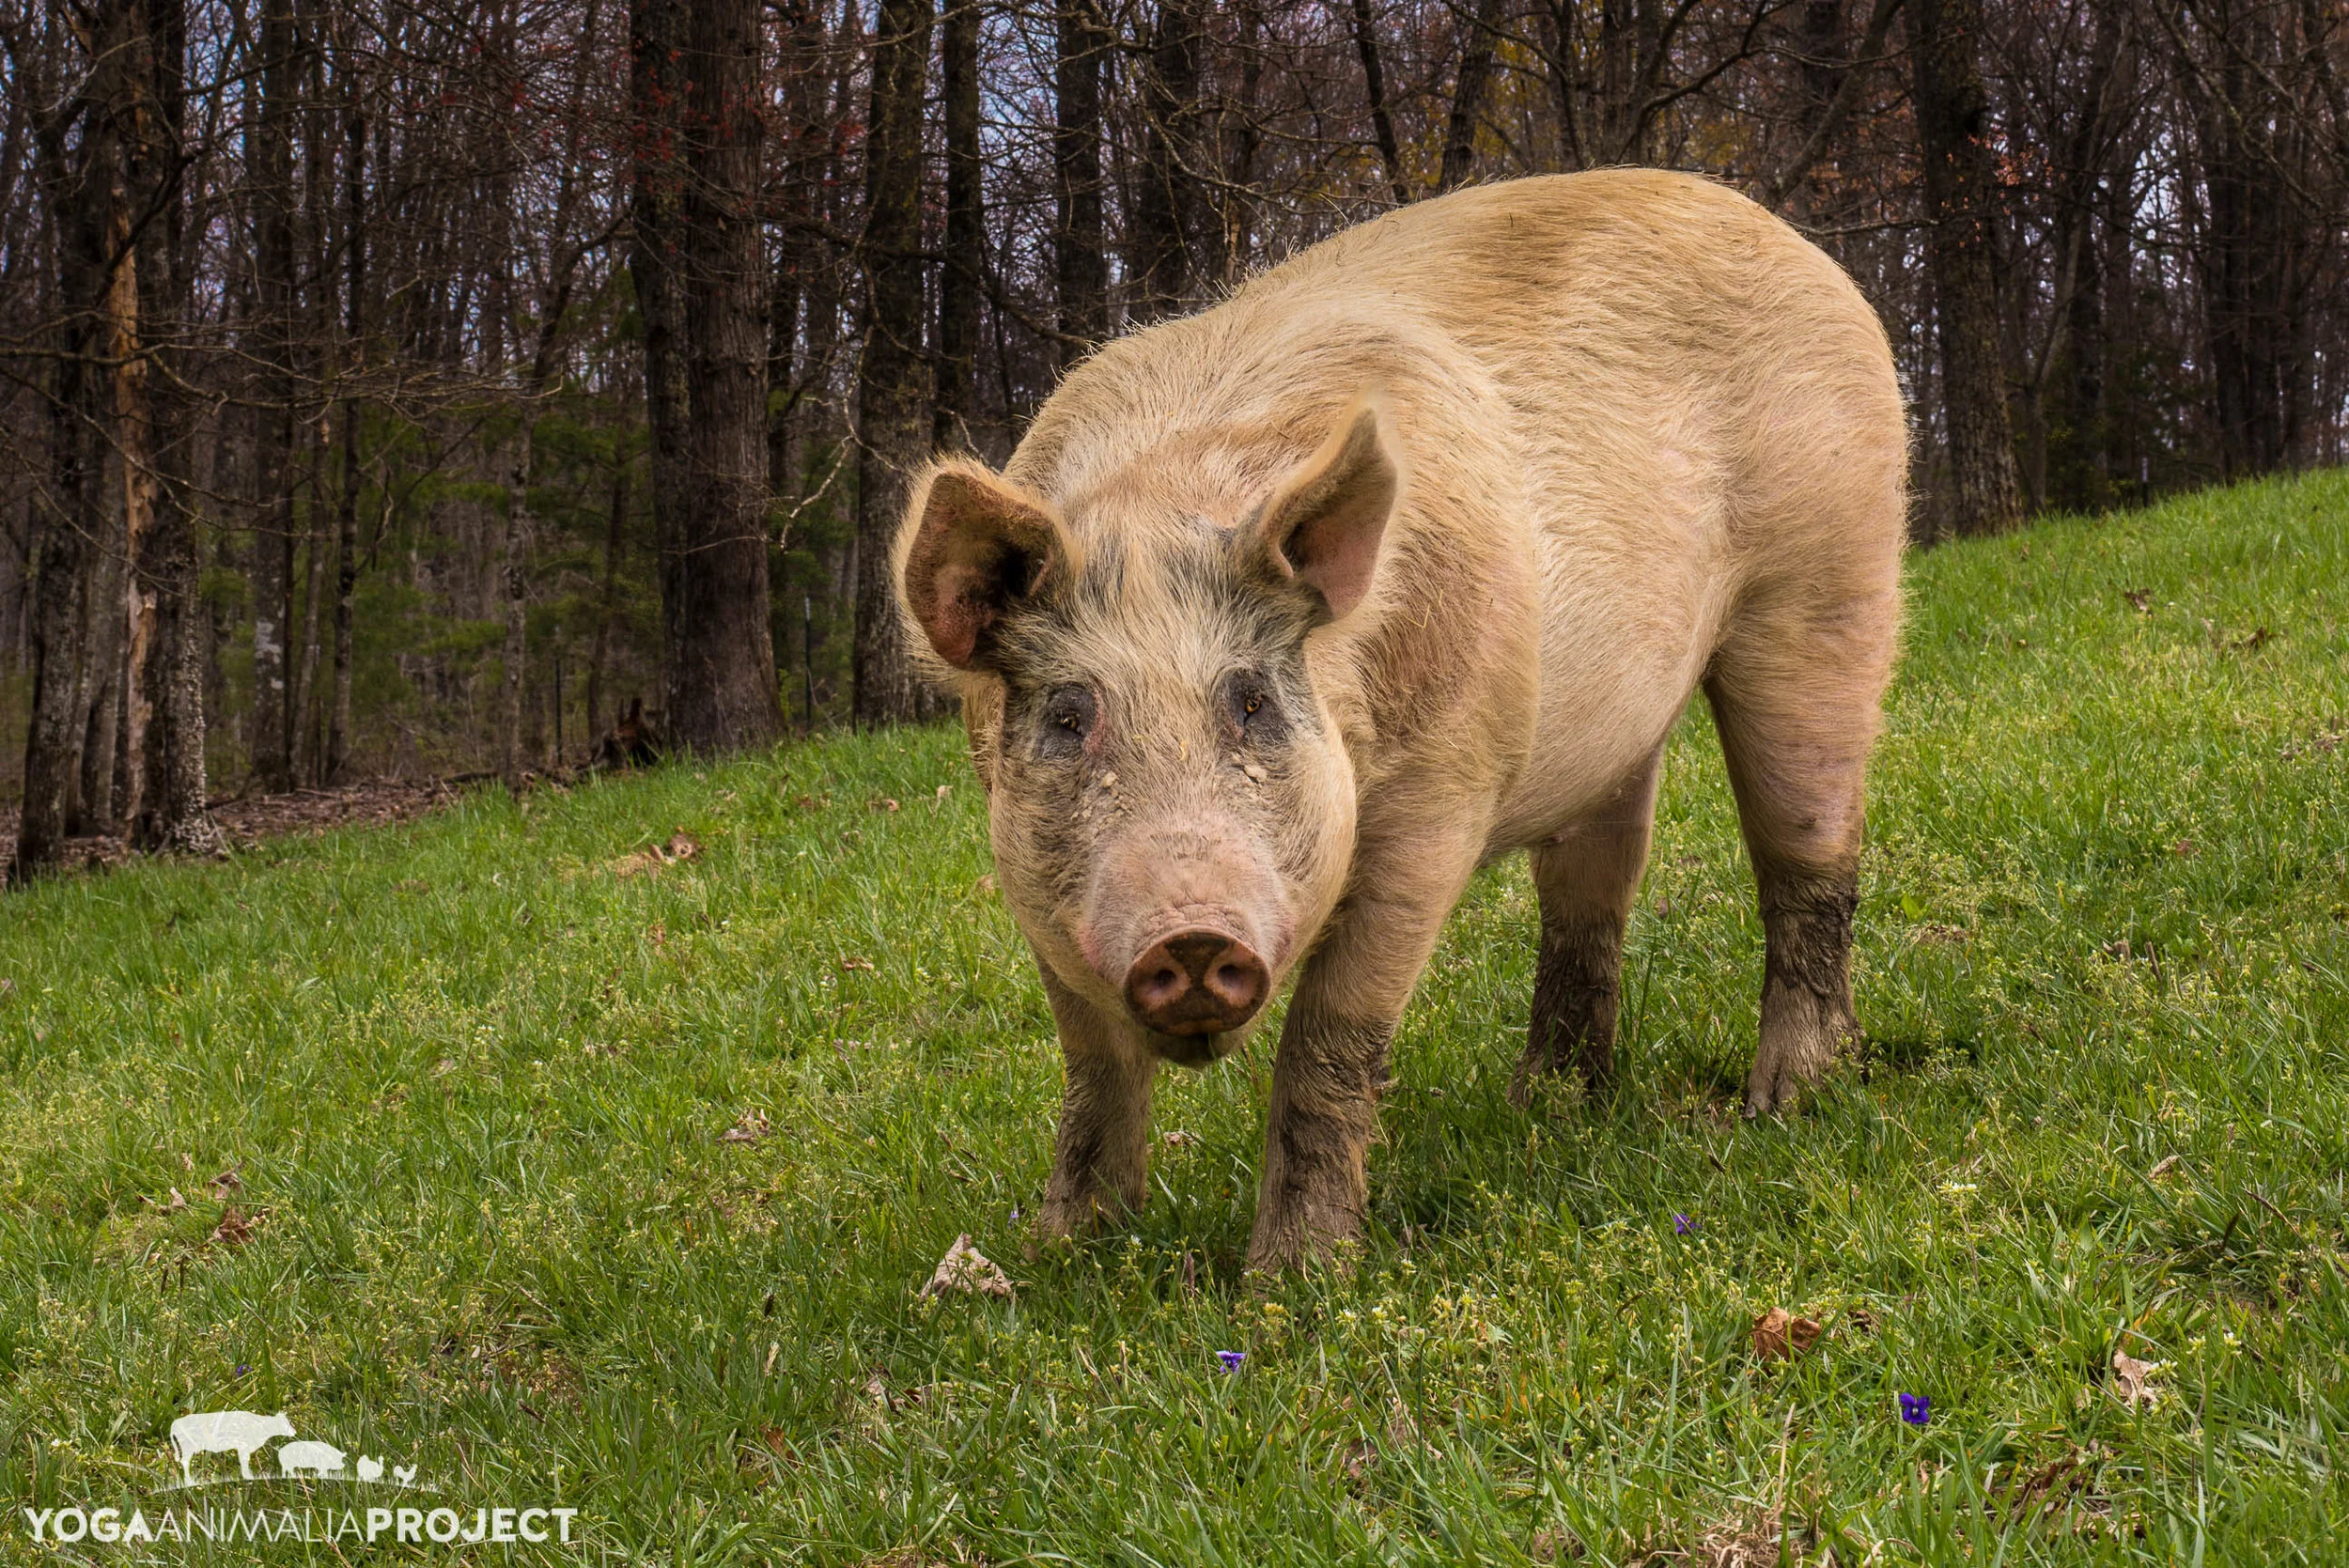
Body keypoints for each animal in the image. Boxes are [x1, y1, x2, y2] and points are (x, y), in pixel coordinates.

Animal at [894, 170, 1906, 1271]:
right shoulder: (1033, 876)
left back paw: (1789, 1098)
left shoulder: (1441, 793)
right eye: (1072, 716)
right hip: (1617, 725)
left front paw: (1292, 1278)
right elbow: (1092, 1063)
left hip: (1831, 571)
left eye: (1251, 701)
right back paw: (1549, 1107)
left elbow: (1331, 1037)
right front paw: (1061, 1256)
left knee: (1808, 854)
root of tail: (1786, 235)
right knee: (1593, 889)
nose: (1192, 933)